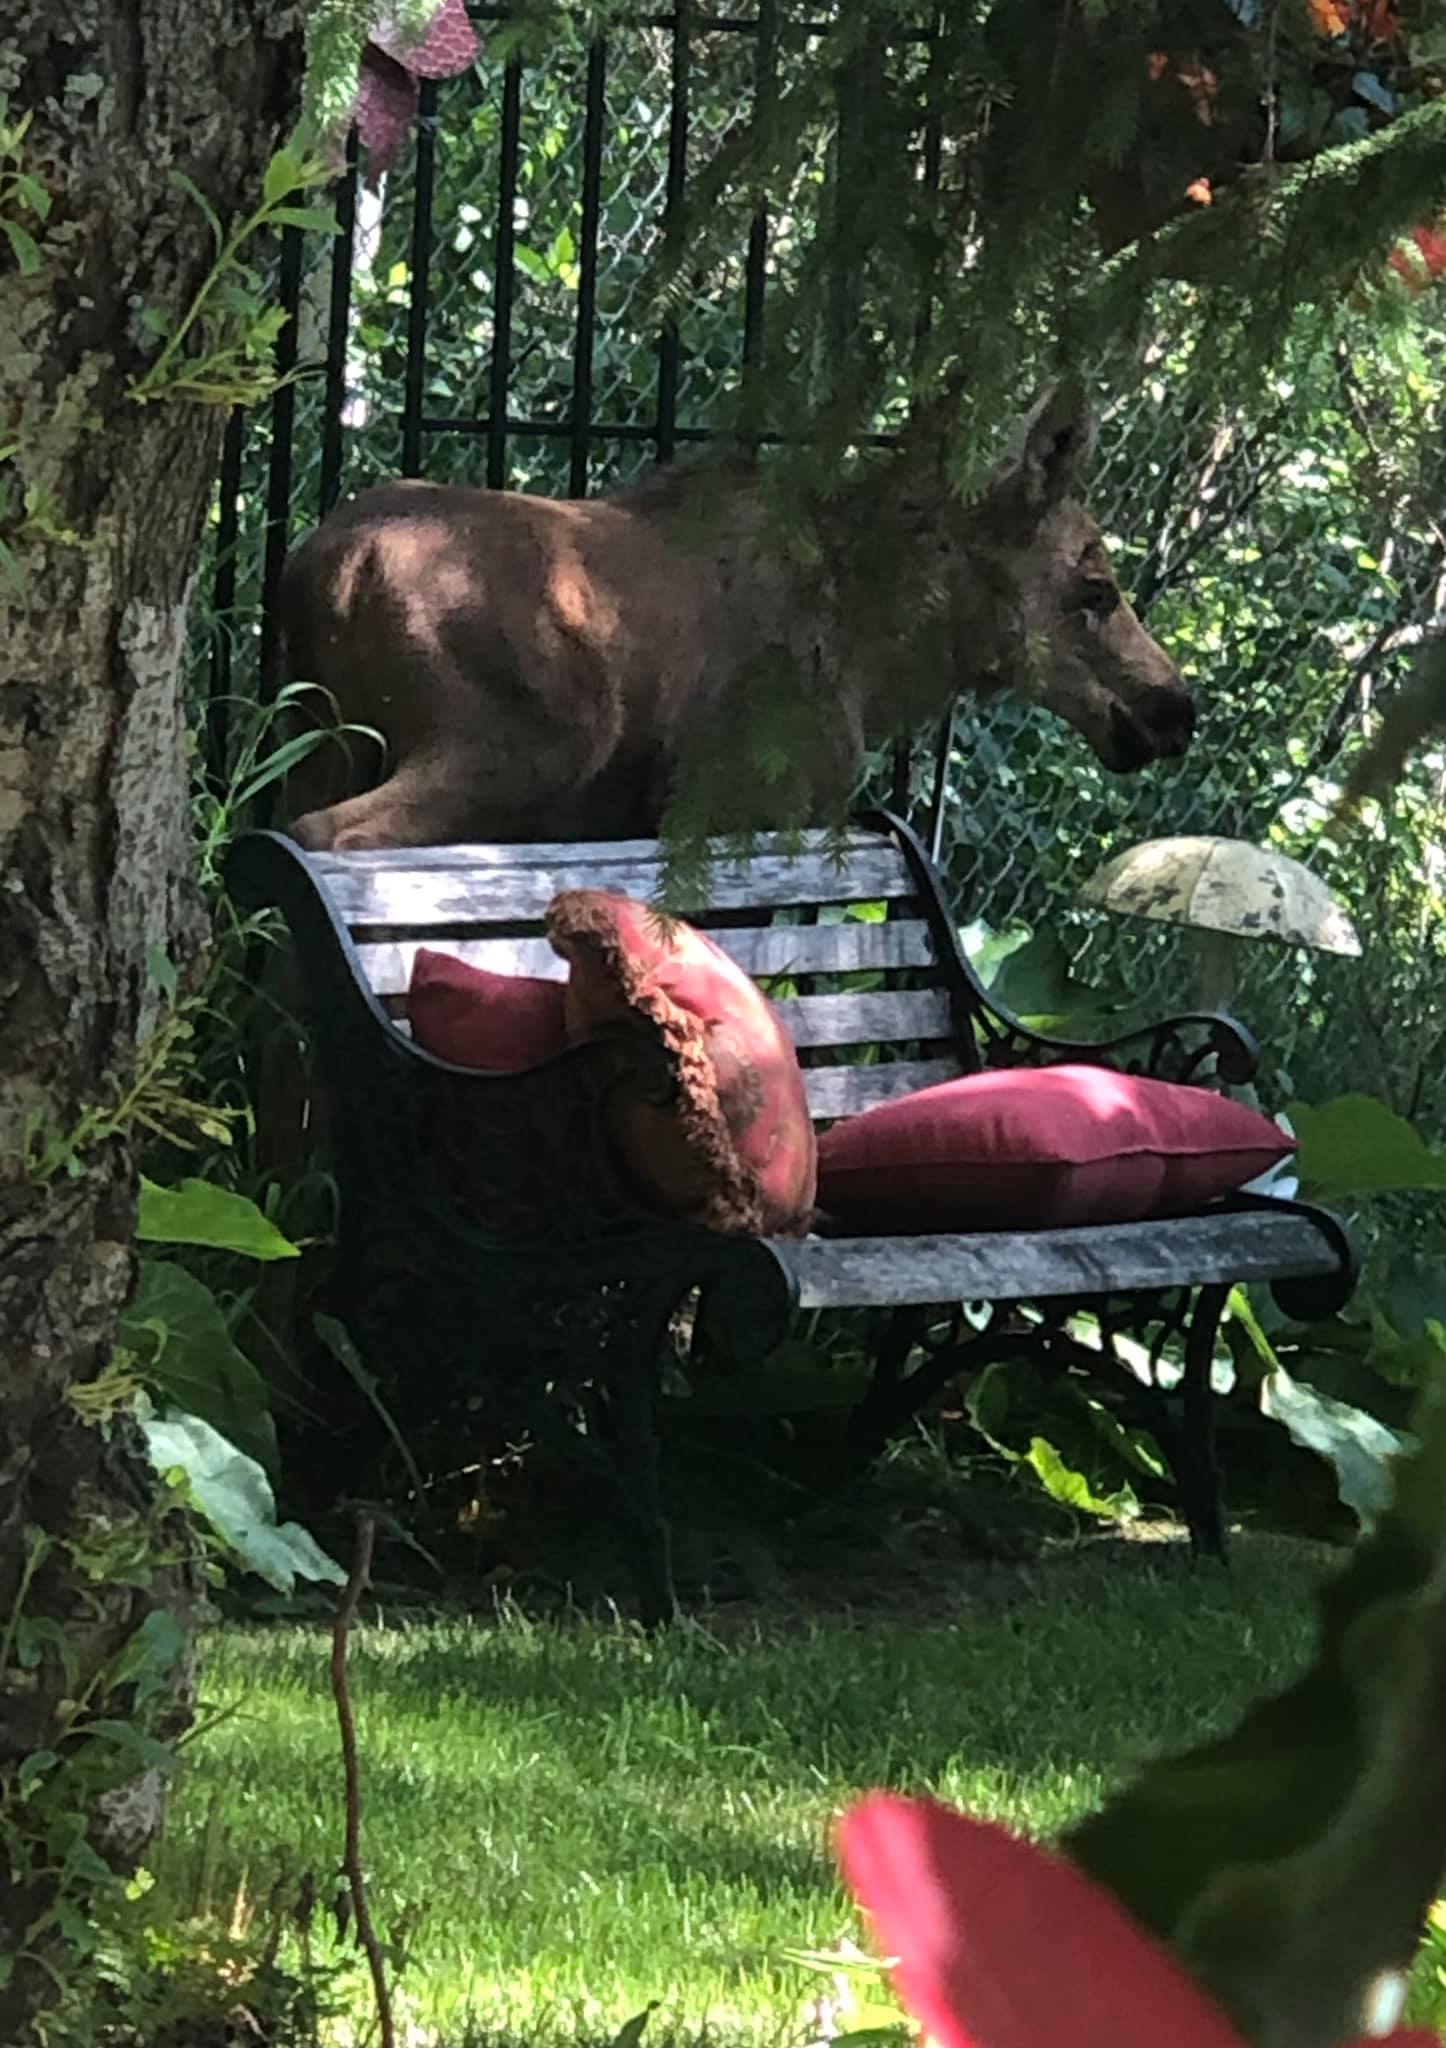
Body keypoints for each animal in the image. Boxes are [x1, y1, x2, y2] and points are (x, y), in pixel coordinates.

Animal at [274, 379, 1194, 851]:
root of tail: (326, 571)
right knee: (330, 835)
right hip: (529, 741)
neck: (886, 669)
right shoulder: (746, 808)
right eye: (1095, 590)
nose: (1175, 708)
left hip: (315, 743)